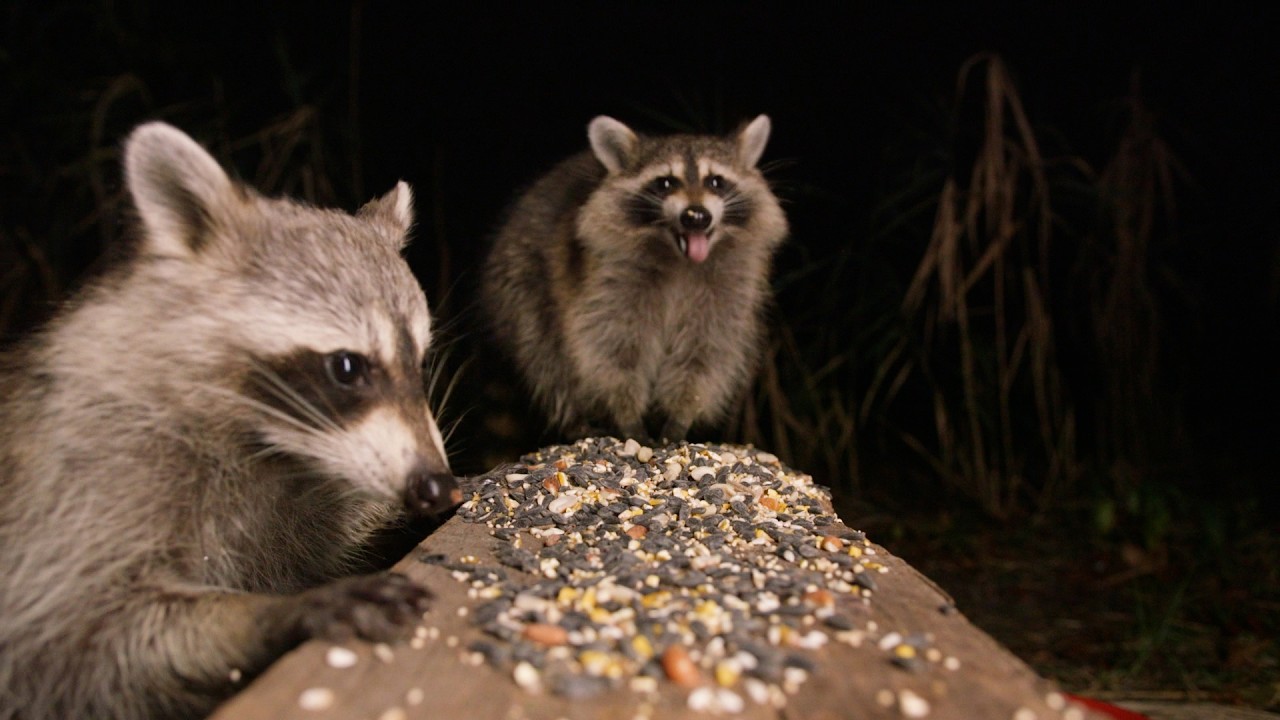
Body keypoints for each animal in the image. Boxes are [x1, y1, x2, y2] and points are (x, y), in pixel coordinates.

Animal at [0, 123, 460, 720]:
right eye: (347, 367)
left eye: (419, 361)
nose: (437, 487)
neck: (275, 449)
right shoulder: (80, 497)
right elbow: (93, 641)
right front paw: (271, 611)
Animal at [482, 115, 788, 442]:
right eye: (666, 183)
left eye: (715, 182)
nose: (696, 216)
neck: (680, 261)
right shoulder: (609, 282)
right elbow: (614, 349)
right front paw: (626, 415)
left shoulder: (728, 292)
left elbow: (704, 355)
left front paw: (681, 414)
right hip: (521, 281)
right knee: (544, 355)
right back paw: (574, 419)